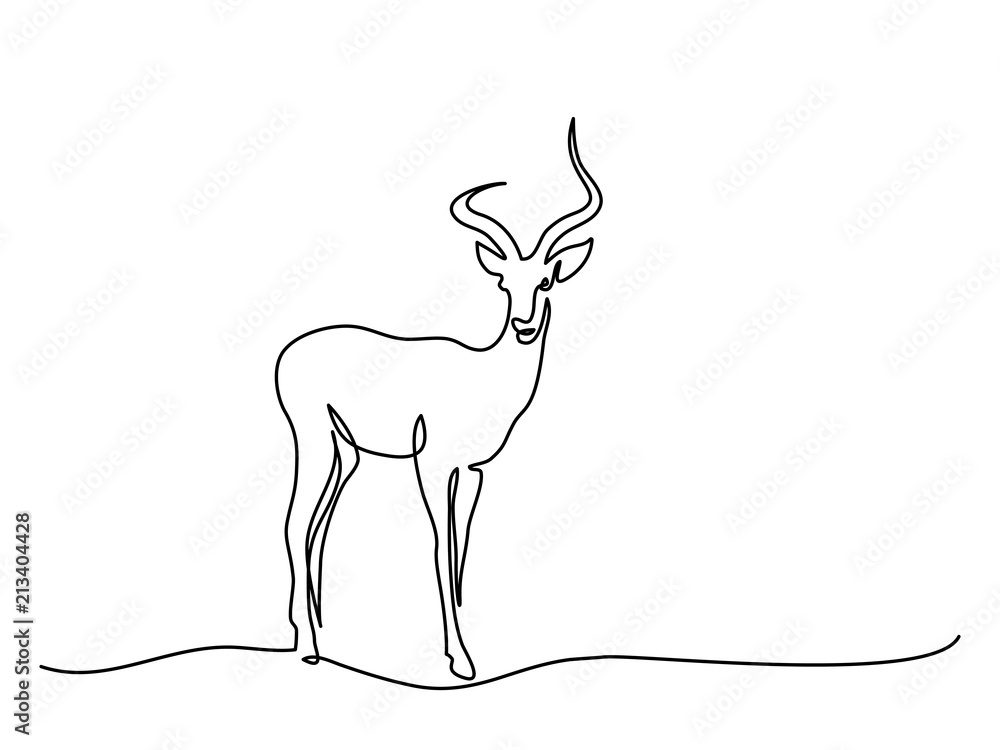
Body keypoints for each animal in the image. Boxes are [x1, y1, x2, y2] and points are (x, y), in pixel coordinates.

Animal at [275, 119, 602, 680]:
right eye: (503, 283)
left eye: (544, 280)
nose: (523, 325)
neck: (484, 374)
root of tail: (288, 352)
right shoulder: (429, 464)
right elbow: (436, 546)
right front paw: (459, 661)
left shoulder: (471, 471)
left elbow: (460, 547)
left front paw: (470, 650)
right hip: (313, 442)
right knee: (295, 526)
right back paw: (310, 648)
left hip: (346, 454)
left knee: (318, 528)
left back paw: (318, 636)